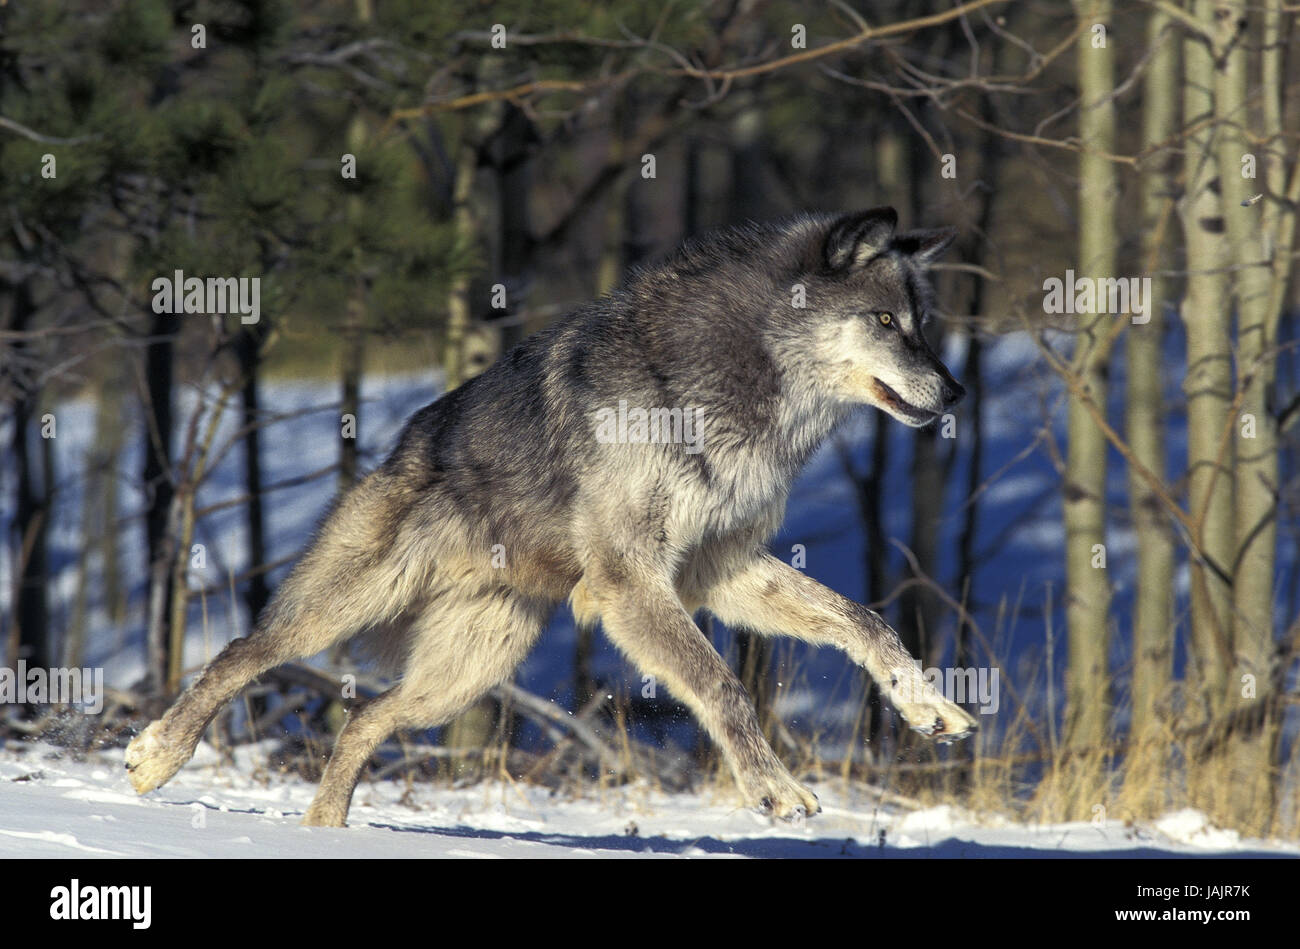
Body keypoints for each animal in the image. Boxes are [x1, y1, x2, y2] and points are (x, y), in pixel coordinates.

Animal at [126, 206, 977, 825]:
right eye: (886, 322)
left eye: (925, 322)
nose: (957, 391)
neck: (740, 387)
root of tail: (399, 450)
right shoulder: (632, 581)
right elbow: (722, 683)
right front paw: (774, 788)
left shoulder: (713, 567)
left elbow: (867, 621)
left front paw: (928, 706)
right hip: (346, 609)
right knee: (243, 650)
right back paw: (157, 754)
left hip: (465, 673)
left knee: (364, 717)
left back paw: (325, 833)